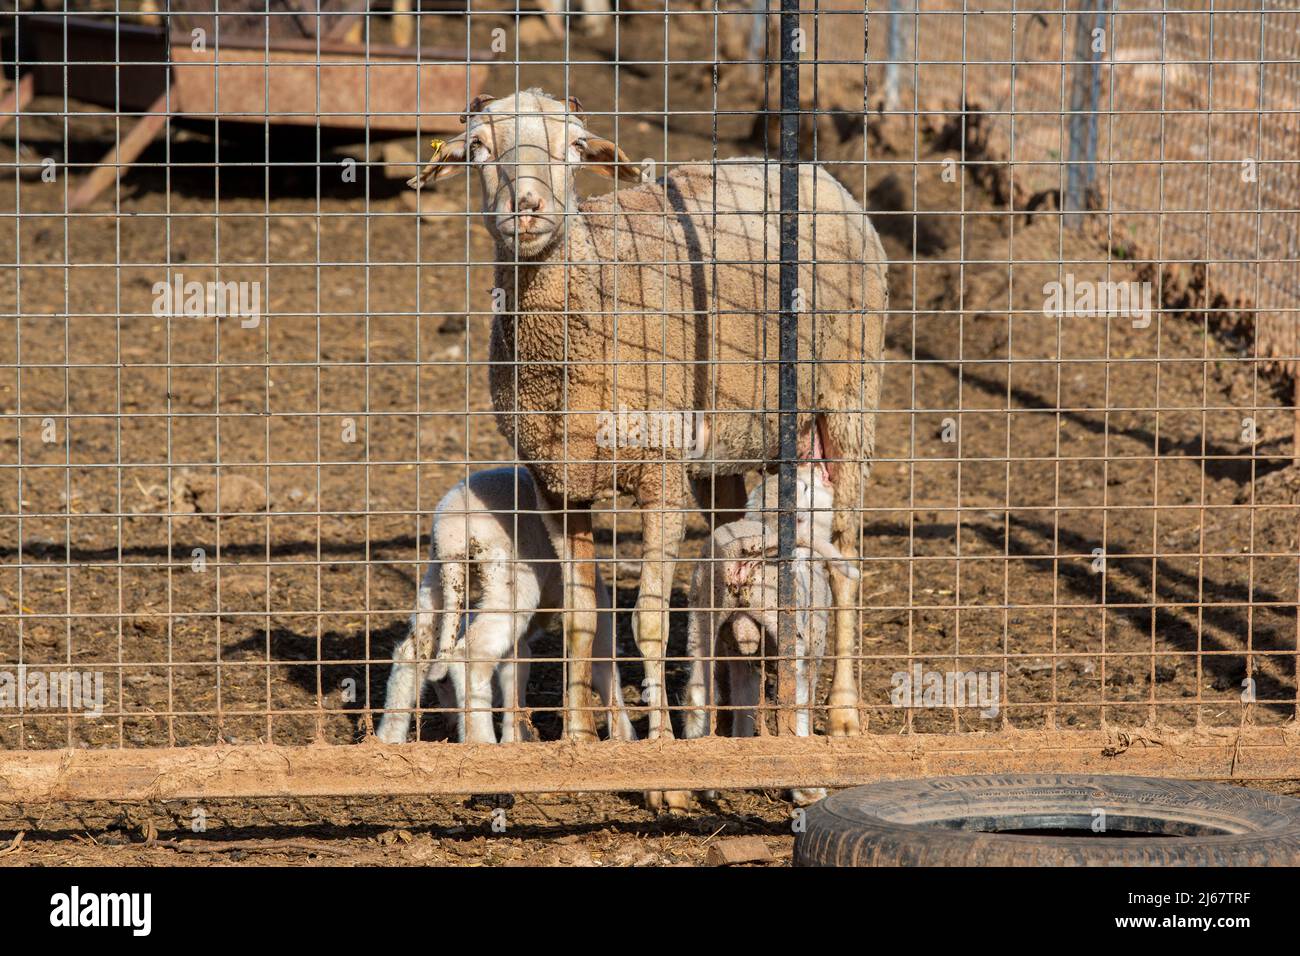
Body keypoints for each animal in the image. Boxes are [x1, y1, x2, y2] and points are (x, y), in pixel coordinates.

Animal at [376, 467, 635, 745]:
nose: (449, 722)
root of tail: (452, 533)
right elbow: (603, 658)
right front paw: (625, 735)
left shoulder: (518, 645)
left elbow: (515, 672)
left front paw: (517, 737)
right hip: (510, 579)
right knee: (471, 652)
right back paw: (481, 739)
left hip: (436, 578)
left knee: (412, 651)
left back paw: (389, 736)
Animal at [409, 90, 887, 808]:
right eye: (478, 150)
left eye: (576, 149)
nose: (528, 206)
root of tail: (811, 172)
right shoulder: (557, 485)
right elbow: (583, 615)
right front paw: (582, 740)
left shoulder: (659, 477)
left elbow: (651, 622)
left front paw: (662, 768)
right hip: (733, 446)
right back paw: (738, 714)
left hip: (850, 398)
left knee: (846, 561)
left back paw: (844, 715)